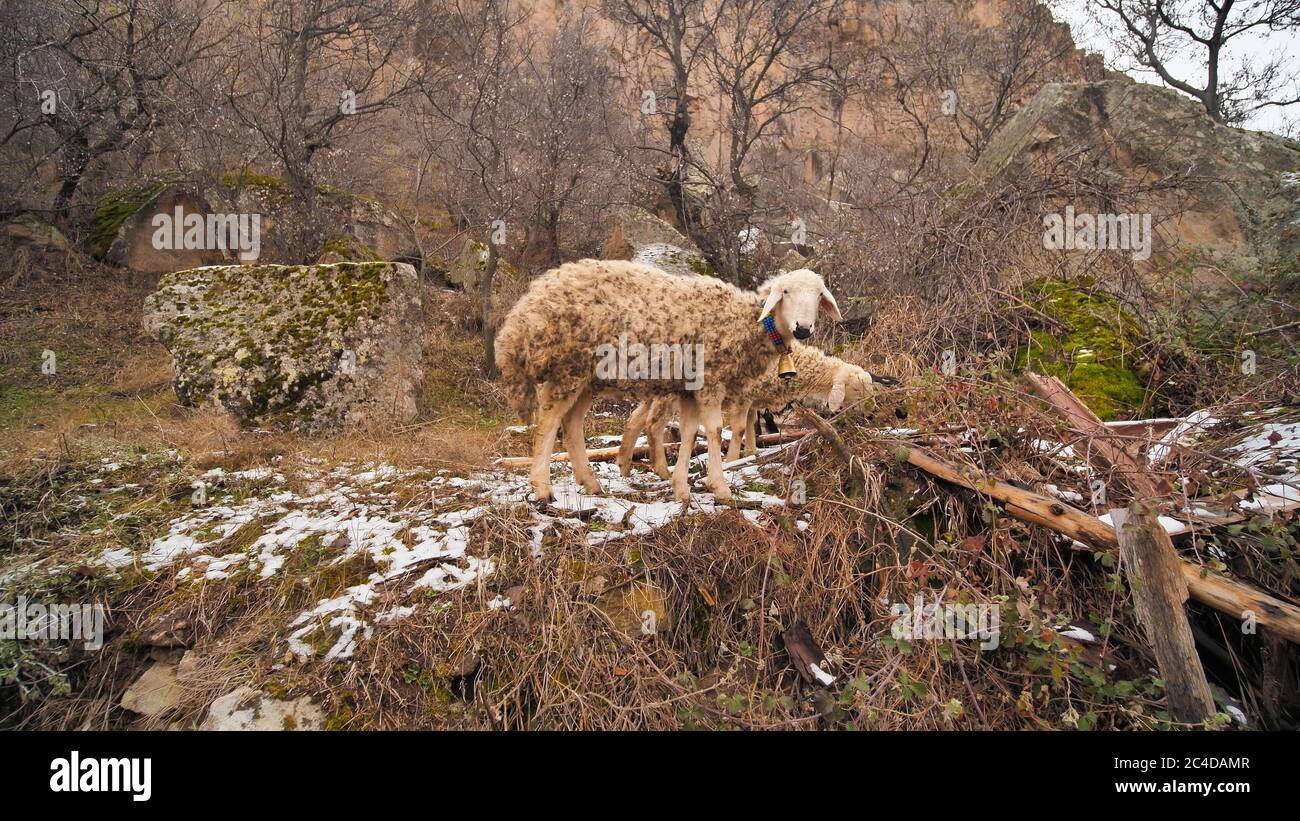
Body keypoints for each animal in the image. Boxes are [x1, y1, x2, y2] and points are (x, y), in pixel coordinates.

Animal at [494, 259, 841, 503]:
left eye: (819, 296)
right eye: (785, 292)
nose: (803, 328)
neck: (745, 322)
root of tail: (526, 309)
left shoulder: (688, 388)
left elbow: (688, 433)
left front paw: (681, 488)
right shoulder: (710, 382)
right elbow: (715, 430)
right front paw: (720, 486)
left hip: (586, 378)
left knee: (572, 423)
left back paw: (589, 481)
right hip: (567, 367)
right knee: (549, 421)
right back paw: (542, 487)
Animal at [616, 344, 877, 479]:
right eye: (855, 388)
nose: (872, 414)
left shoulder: (752, 399)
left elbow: (751, 425)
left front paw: (751, 453)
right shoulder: (744, 395)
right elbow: (740, 428)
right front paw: (732, 460)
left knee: (634, 420)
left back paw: (625, 465)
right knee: (652, 424)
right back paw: (660, 470)